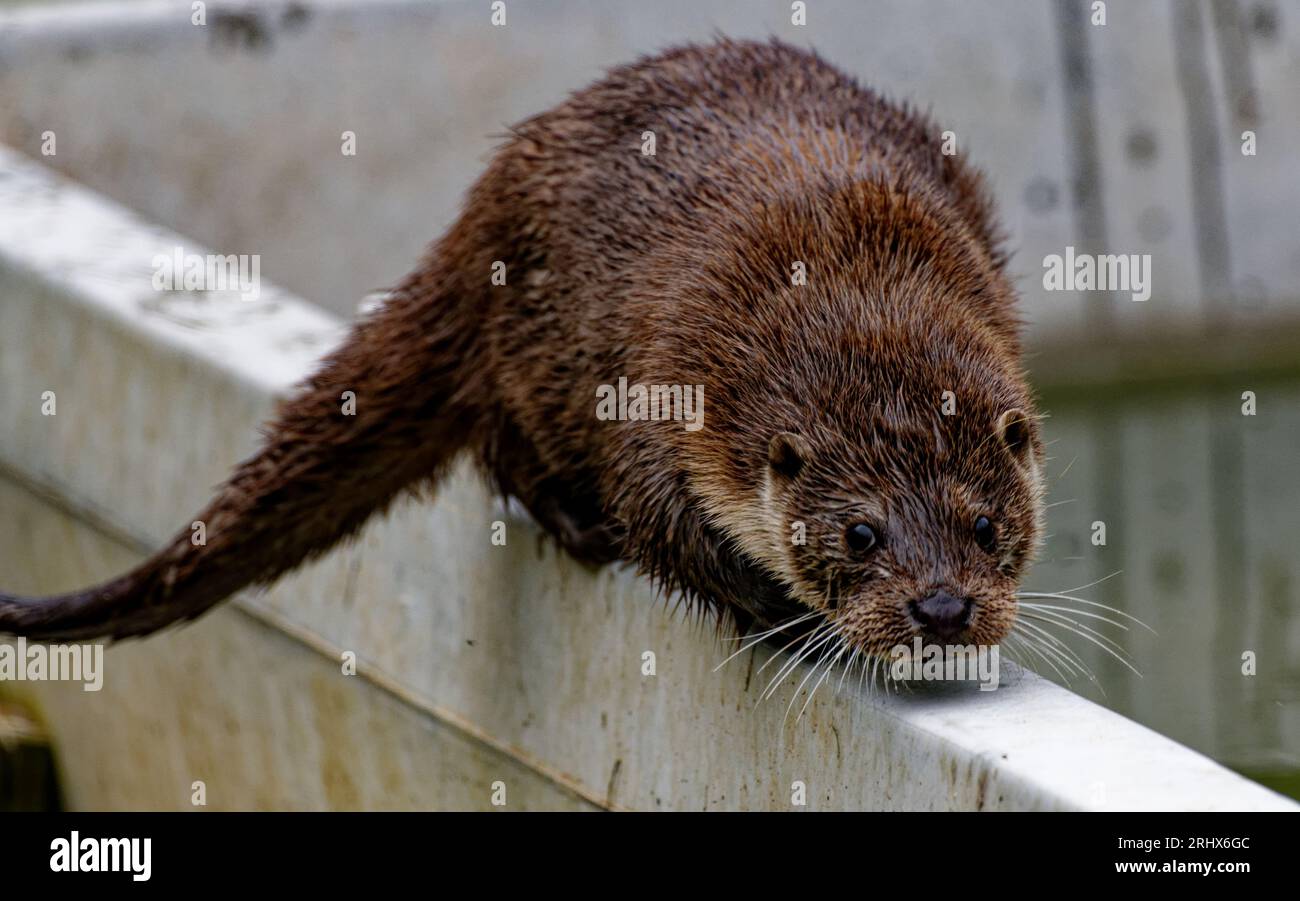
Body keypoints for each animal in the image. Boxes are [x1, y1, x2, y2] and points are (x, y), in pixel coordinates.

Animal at [0, 39, 1044, 668]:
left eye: (987, 524)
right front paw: (785, 617)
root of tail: (490, 192)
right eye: (859, 534)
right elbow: (658, 519)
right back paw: (573, 524)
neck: (844, 272)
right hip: (533, 345)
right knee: (501, 444)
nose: (942, 610)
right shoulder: (664, 386)